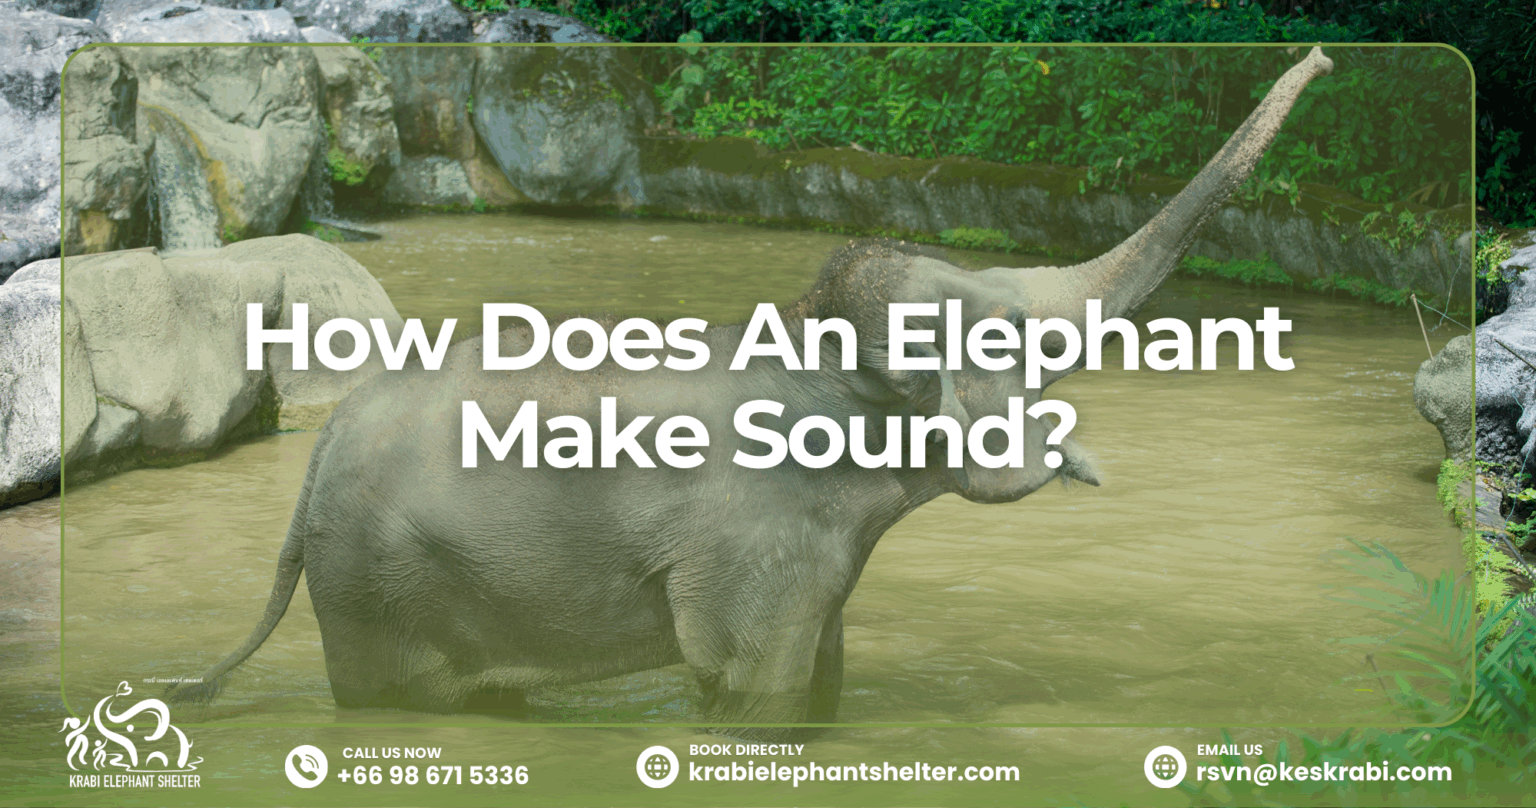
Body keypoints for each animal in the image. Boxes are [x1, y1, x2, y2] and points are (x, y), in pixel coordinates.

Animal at [169, 48, 1334, 740]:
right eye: (1008, 333)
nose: (1322, 55)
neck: (822, 345)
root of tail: (311, 469)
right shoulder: (753, 544)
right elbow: (755, 691)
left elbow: (821, 677)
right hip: (375, 589)